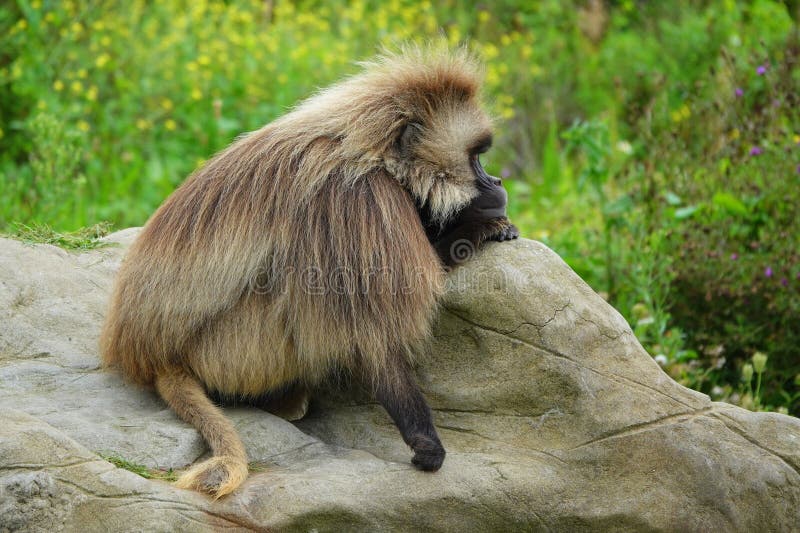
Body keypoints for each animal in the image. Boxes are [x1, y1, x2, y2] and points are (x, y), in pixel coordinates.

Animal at [99, 46, 518, 498]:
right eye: (476, 159)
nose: (498, 182)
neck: (372, 154)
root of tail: (152, 356)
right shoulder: (359, 202)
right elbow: (374, 333)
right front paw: (423, 439)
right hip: (231, 352)